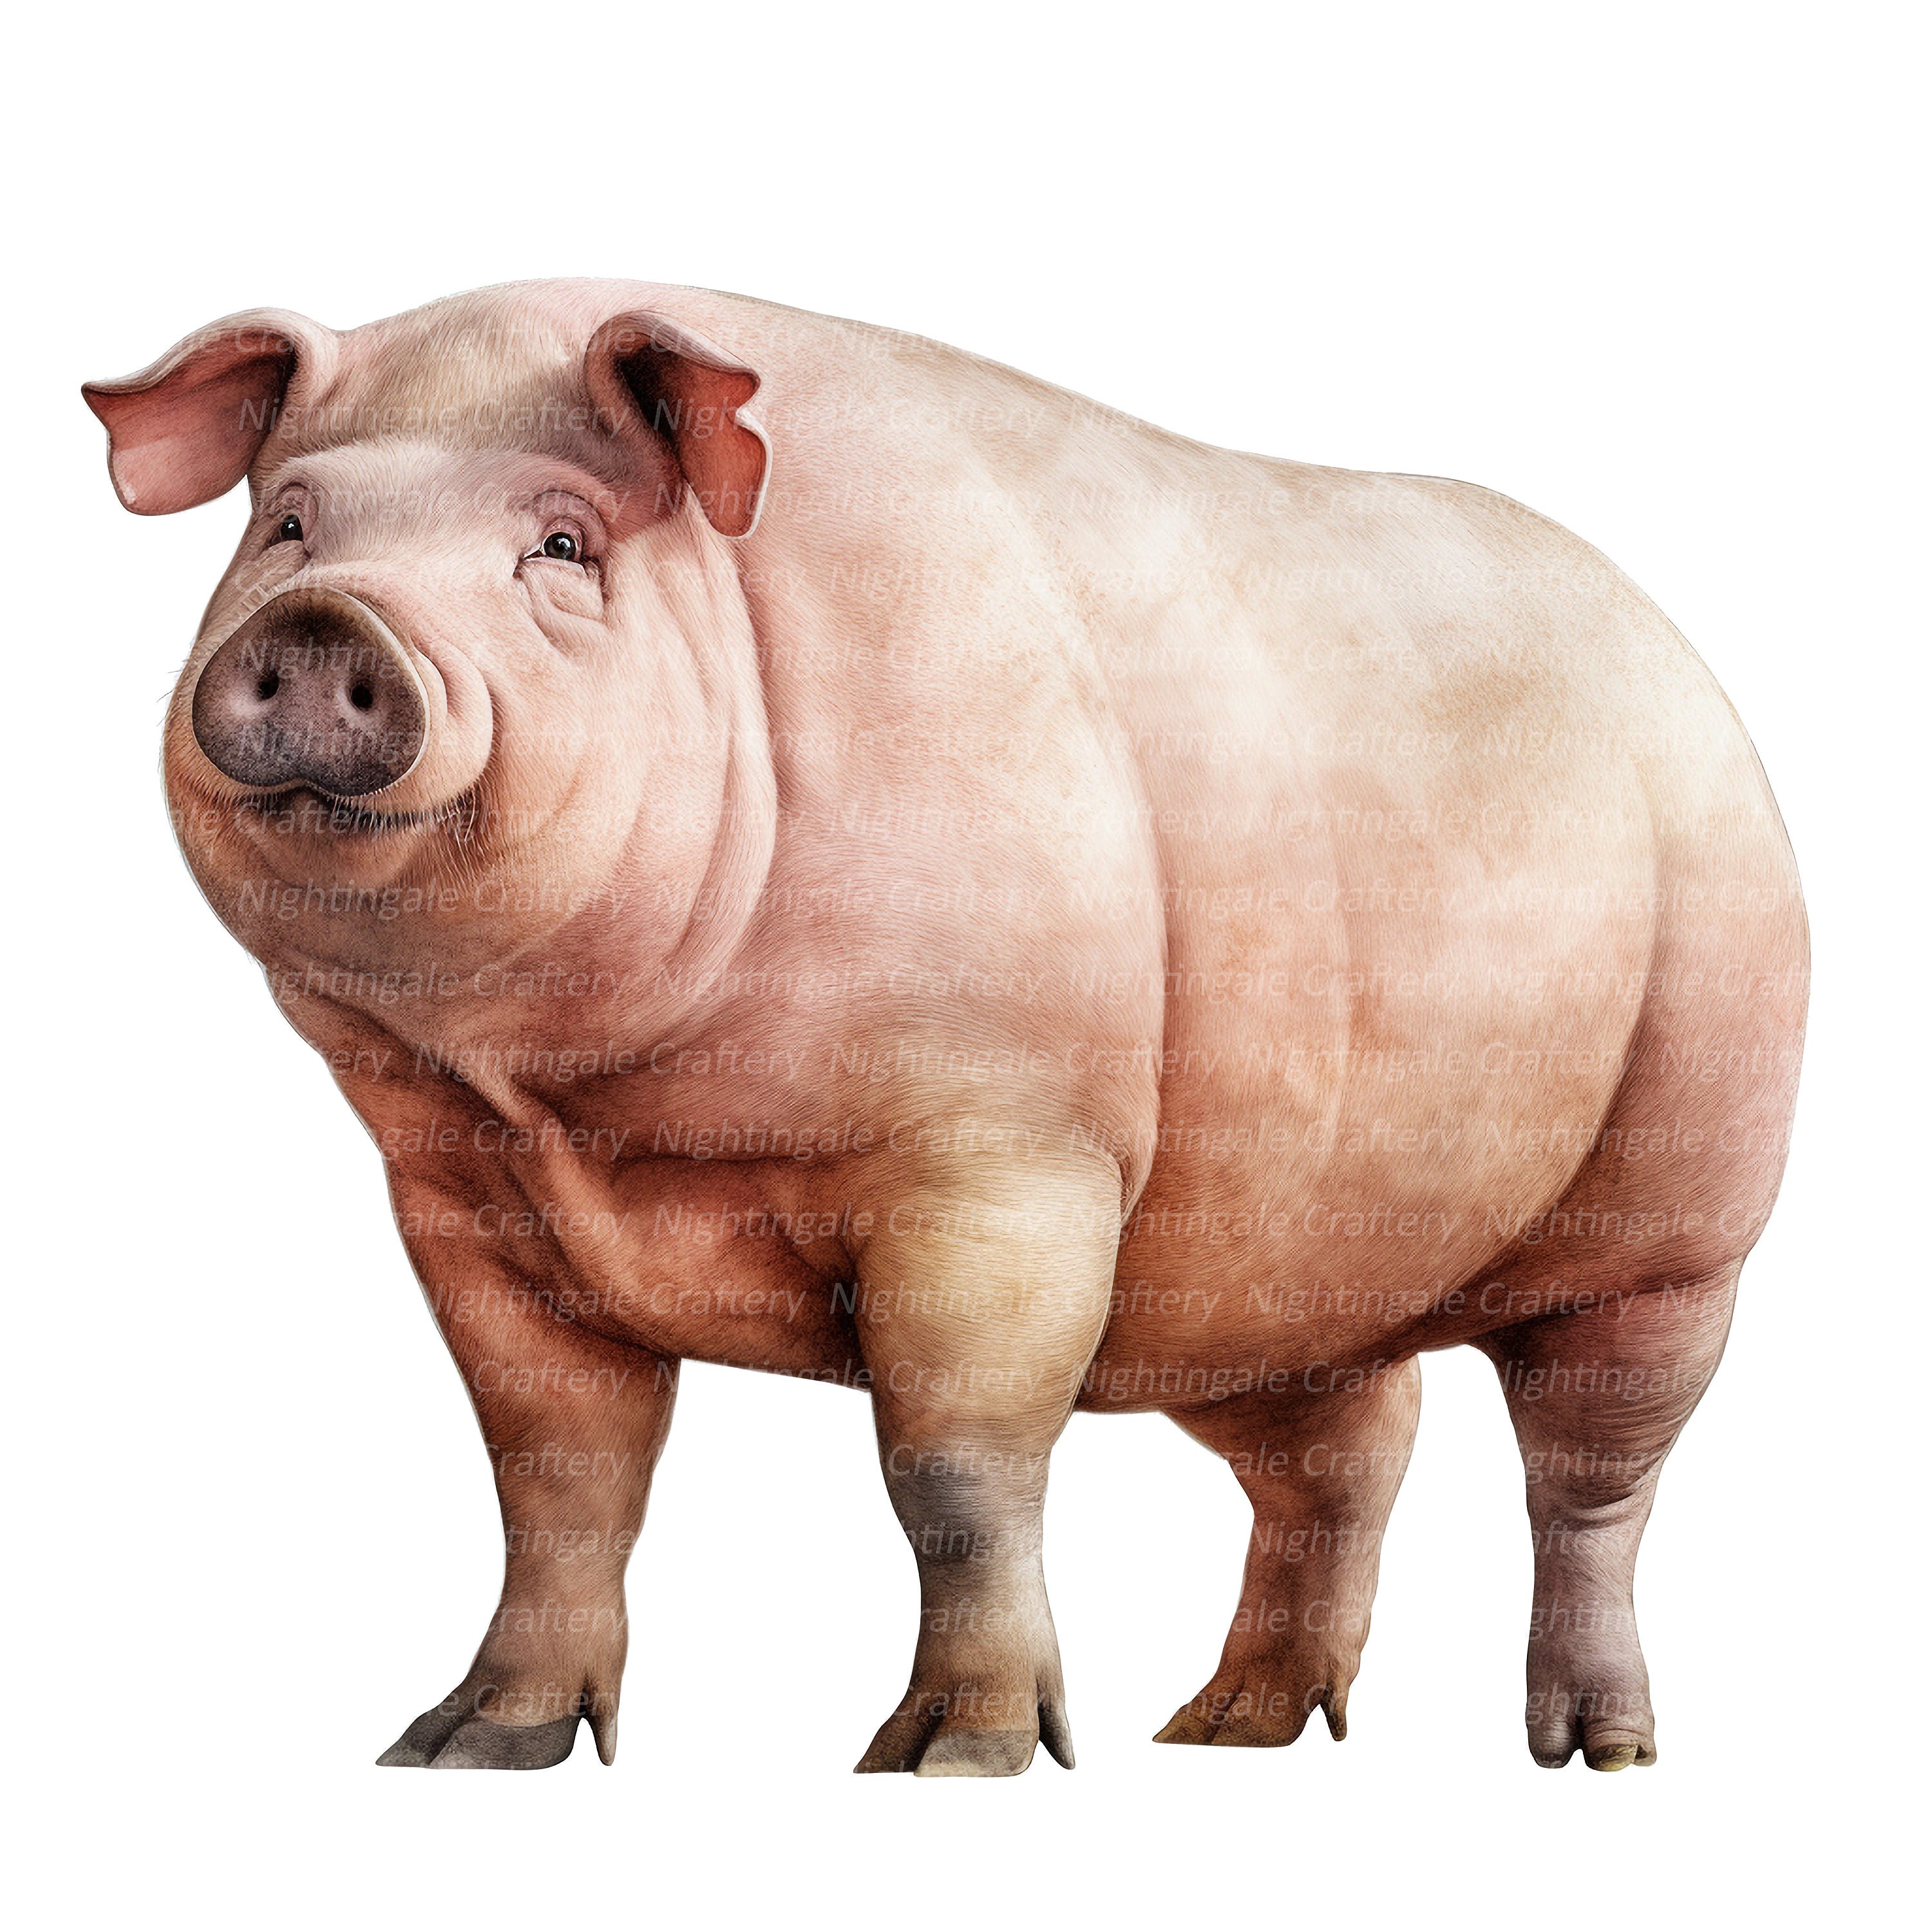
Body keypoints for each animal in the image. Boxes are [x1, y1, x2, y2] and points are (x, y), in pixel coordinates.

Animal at [83, 280, 1807, 1777]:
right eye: (285, 524)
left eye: (562, 543)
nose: (321, 624)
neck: (586, 1106)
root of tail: (1686, 660)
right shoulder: (458, 1193)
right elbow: (554, 1468)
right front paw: (456, 1751)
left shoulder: (1004, 1150)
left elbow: (955, 1468)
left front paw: (946, 1762)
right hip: (1263, 1246)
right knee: (1350, 1440)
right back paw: (1226, 1732)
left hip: (1686, 1195)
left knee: (1592, 1476)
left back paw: (1595, 1751)